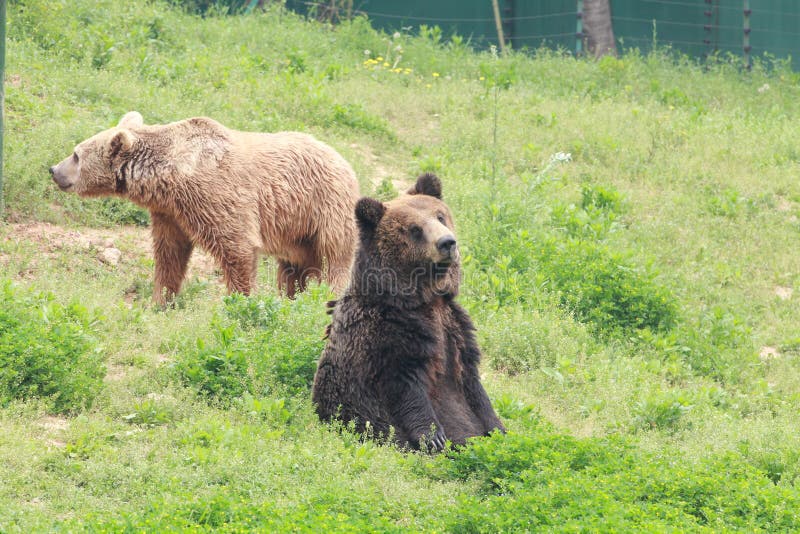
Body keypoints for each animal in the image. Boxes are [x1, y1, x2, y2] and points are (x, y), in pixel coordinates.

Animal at [50, 112, 359, 303]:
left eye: (76, 155)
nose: (53, 170)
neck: (171, 176)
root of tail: (344, 160)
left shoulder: (215, 195)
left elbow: (237, 247)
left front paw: (241, 303)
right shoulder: (171, 213)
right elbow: (169, 254)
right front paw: (160, 300)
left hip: (324, 207)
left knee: (334, 258)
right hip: (295, 230)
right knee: (293, 269)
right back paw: (291, 297)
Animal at [312, 173, 505, 451]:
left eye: (440, 216)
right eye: (415, 229)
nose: (447, 242)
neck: (424, 300)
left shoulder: (455, 328)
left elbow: (473, 385)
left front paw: (499, 428)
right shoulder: (389, 333)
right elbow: (405, 385)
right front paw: (433, 436)